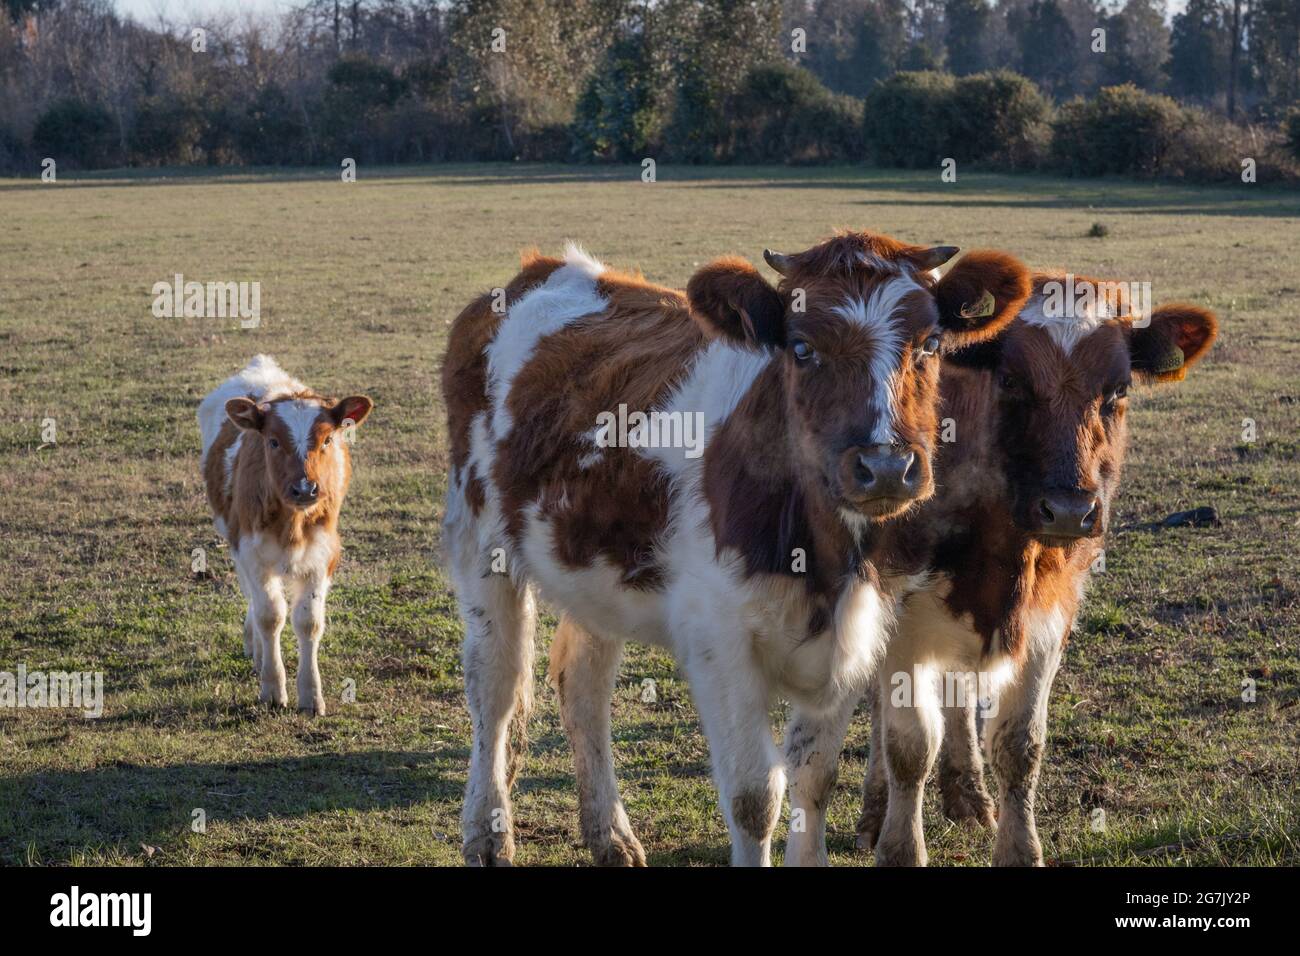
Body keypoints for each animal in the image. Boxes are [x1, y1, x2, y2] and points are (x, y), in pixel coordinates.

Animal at [198, 355, 374, 716]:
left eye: (327, 440)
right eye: (273, 441)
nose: (305, 489)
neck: (292, 523)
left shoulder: (323, 556)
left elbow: (308, 622)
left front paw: (311, 694)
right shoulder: (251, 552)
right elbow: (270, 615)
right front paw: (272, 687)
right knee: (253, 598)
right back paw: (256, 649)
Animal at [440, 232, 1032, 865]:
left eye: (929, 344)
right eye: (801, 347)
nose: (886, 467)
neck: (823, 557)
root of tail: (541, 270)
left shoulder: (859, 632)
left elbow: (814, 776)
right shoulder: (718, 644)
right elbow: (755, 794)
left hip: (591, 567)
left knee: (583, 685)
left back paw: (611, 836)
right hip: (481, 541)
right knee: (495, 687)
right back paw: (487, 834)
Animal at [850, 275, 1217, 865]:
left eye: (1118, 390)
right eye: (1011, 382)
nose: (1068, 510)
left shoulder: (1049, 618)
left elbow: (1020, 744)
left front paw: (1017, 846)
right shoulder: (898, 615)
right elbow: (908, 744)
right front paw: (899, 844)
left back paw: (968, 795)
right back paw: (875, 809)